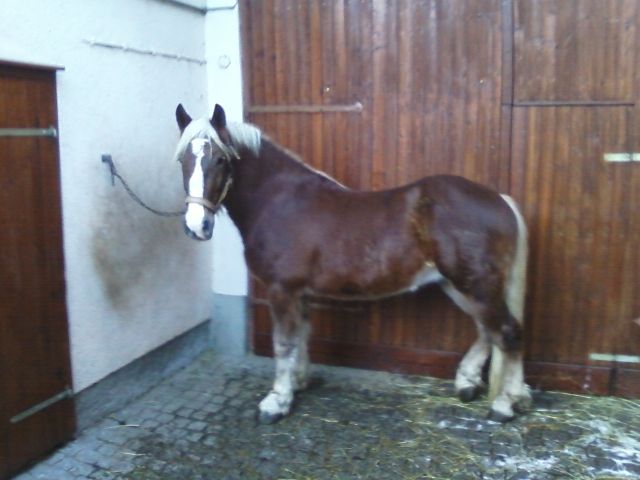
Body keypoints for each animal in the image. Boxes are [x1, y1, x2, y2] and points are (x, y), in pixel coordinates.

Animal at [173, 103, 532, 424]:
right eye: (182, 159)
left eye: (220, 159)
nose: (196, 226)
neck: (279, 201)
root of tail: (500, 199)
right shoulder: (301, 293)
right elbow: (302, 335)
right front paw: (299, 383)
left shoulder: (282, 290)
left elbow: (284, 343)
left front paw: (276, 402)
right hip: (457, 285)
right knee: (487, 331)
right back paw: (470, 383)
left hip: (477, 286)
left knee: (508, 333)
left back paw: (504, 404)